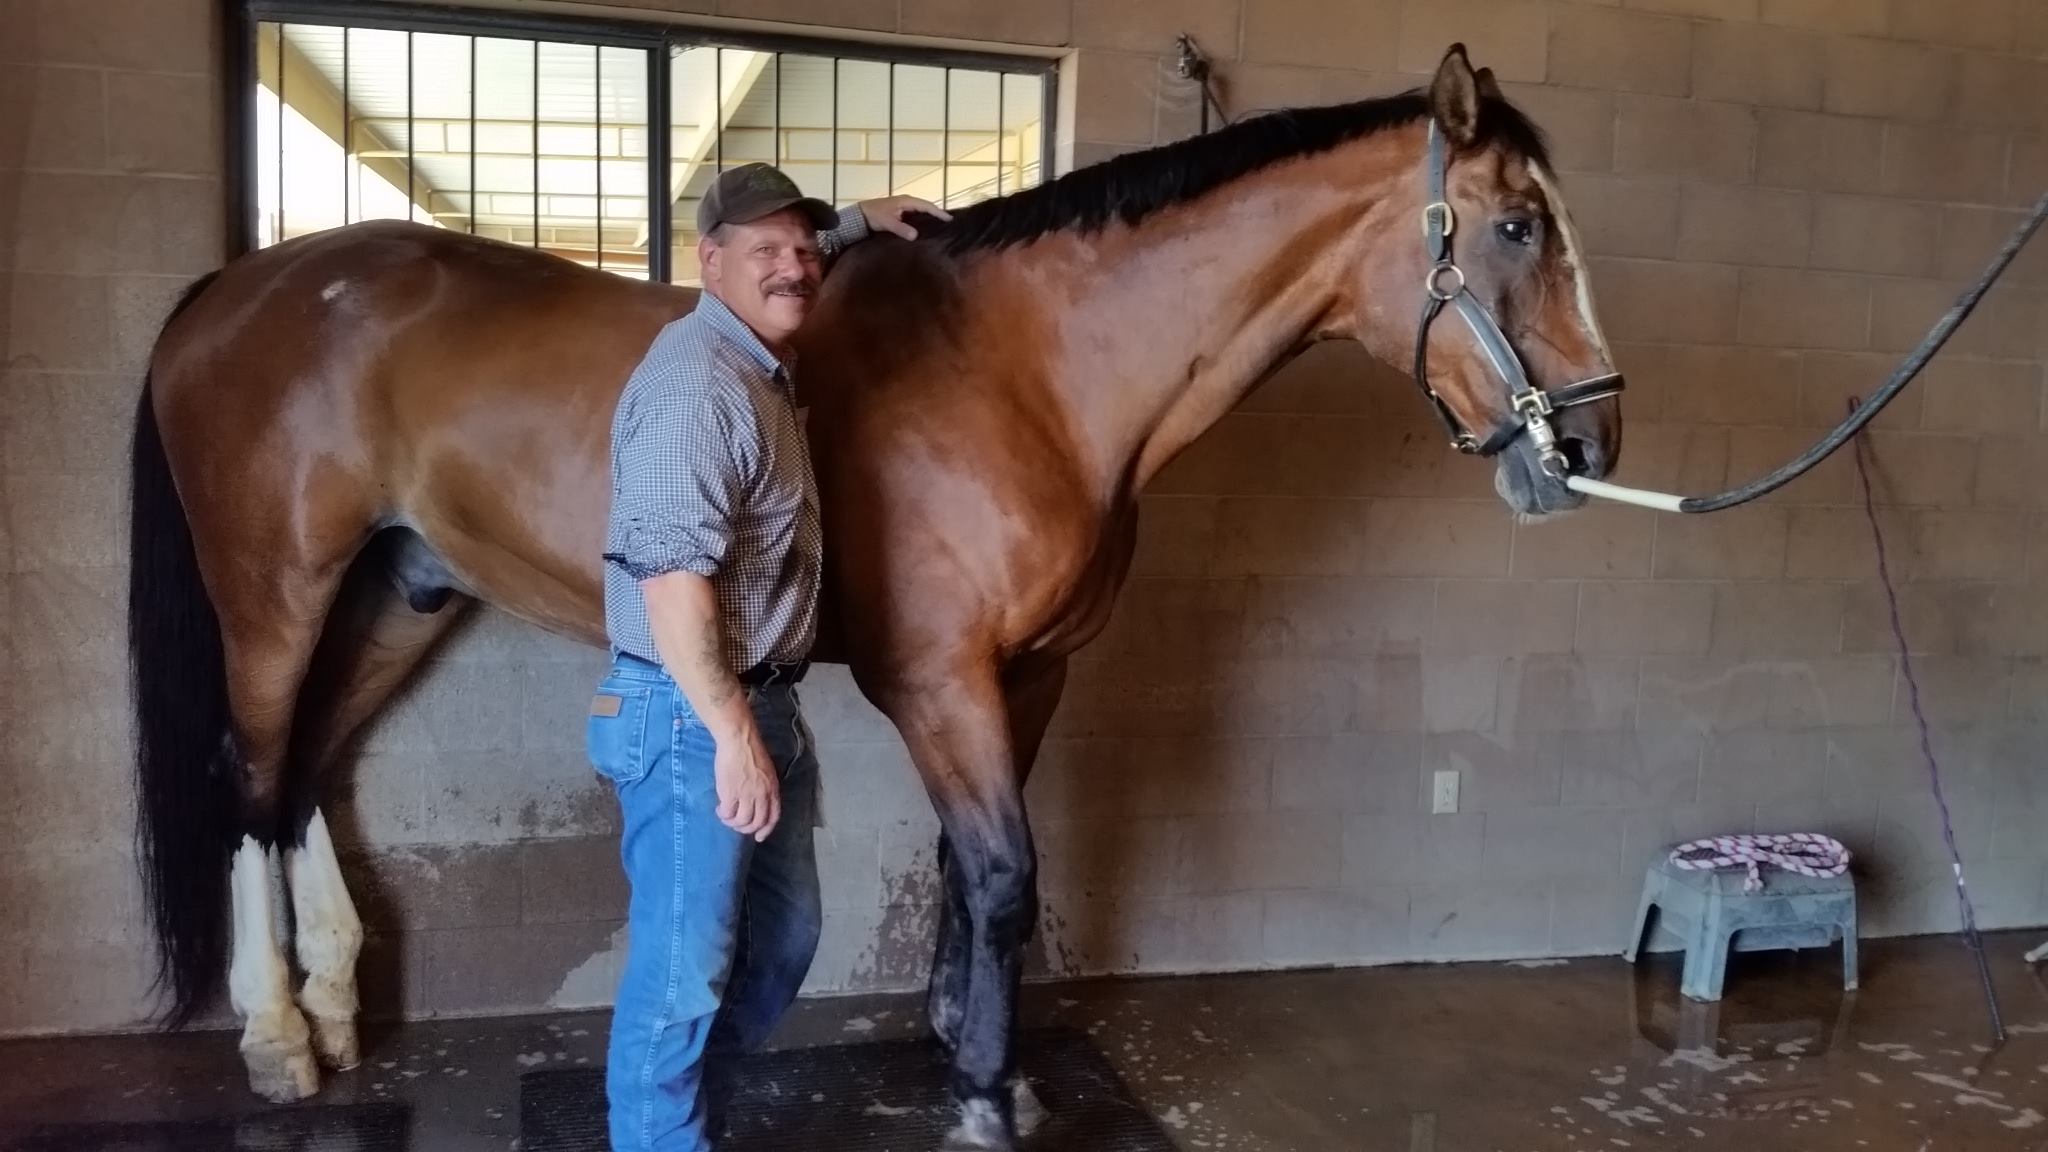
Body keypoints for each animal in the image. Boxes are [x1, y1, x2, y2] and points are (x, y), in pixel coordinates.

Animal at [126, 45, 1622, 1151]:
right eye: (1514, 225)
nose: (1592, 443)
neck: (1023, 369)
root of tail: (236, 287)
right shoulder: (937, 679)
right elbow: (1006, 875)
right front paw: (981, 1102)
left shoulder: (1030, 672)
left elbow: (972, 875)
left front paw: (979, 1057)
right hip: (273, 594)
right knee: (252, 777)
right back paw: (277, 1042)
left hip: (400, 595)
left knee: (307, 774)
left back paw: (330, 1009)